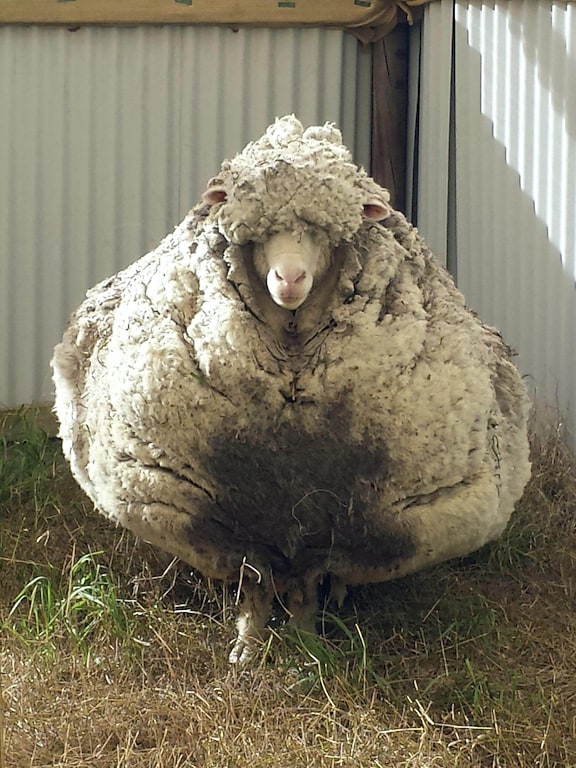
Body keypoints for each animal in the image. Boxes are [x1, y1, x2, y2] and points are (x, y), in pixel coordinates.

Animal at [52, 115, 531, 664]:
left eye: (324, 235)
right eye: (259, 236)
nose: (290, 278)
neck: (292, 355)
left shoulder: (335, 531)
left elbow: (308, 588)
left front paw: (306, 648)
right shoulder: (231, 523)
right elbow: (254, 586)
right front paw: (246, 649)